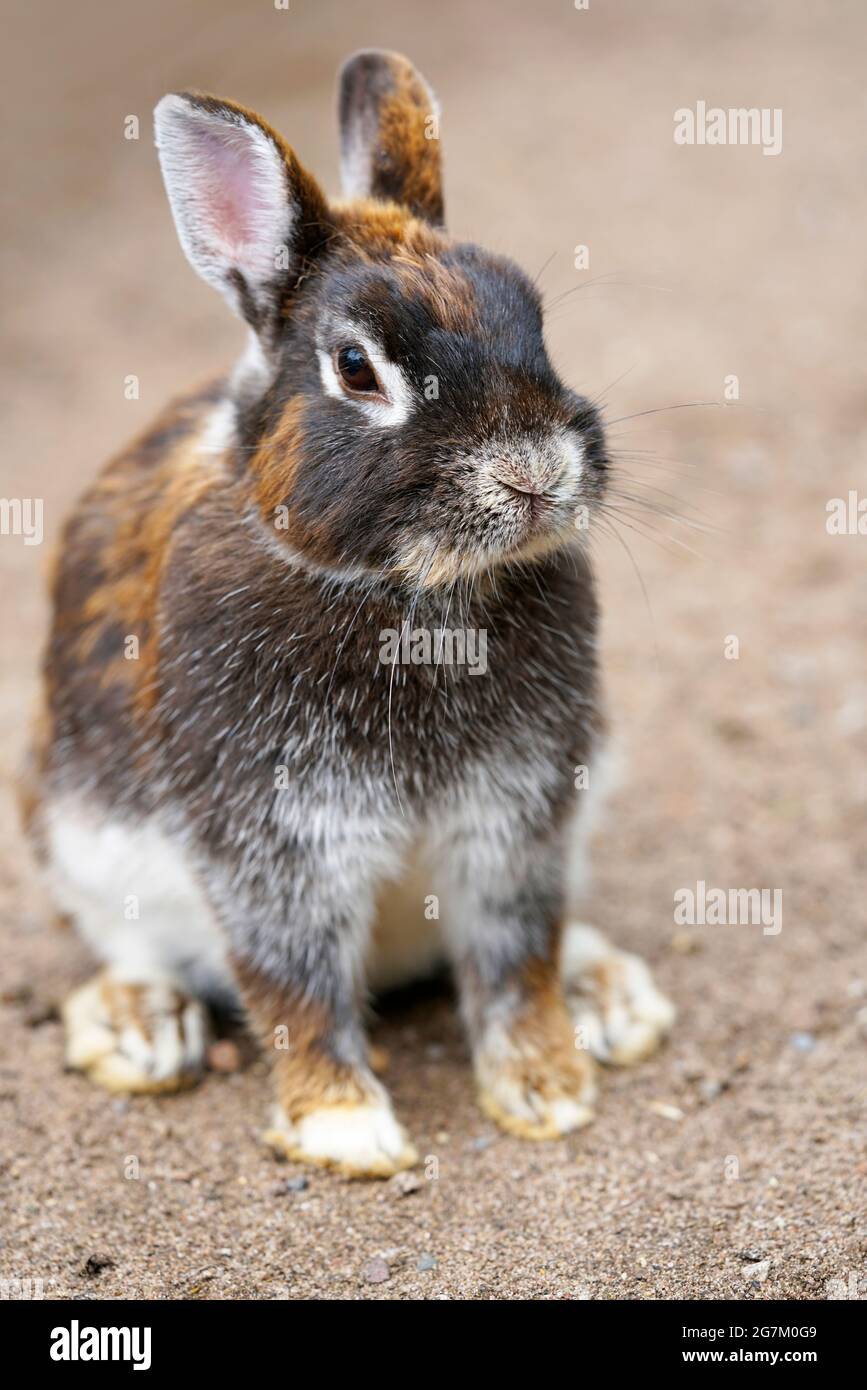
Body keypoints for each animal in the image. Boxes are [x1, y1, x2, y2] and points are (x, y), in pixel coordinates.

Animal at [24, 49, 674, 1177]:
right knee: (139, 944)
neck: (409, 590)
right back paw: (137, 1027)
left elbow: (517, 952)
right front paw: (346, 1129)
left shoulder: (519, 814)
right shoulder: (276, 837)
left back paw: (610, 994)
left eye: (535, 320)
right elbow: (292, 981)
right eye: (357, 367)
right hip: (81, 842)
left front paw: (549, 1088)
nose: (535, 473)